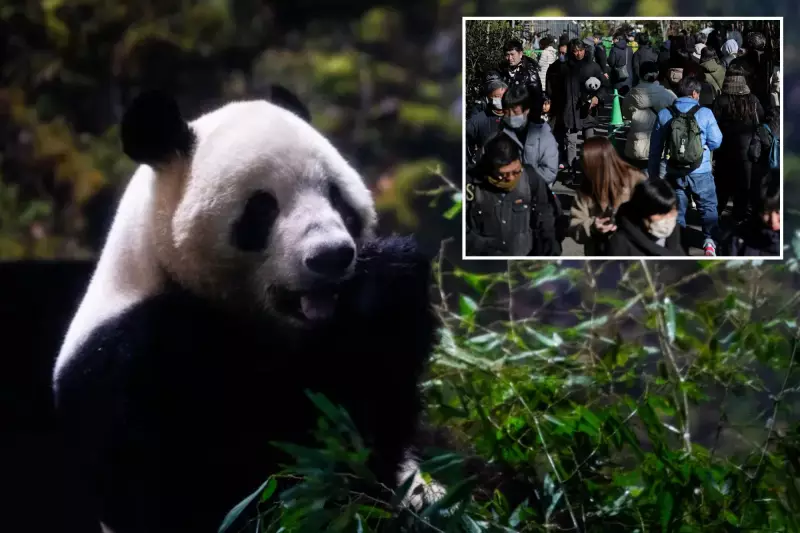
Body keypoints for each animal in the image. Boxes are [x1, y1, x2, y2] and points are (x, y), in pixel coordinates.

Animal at [52, 90, 443, 533]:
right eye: (262, 208)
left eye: (338, 198)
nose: (330, 256)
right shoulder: (130, 364)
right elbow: (226, 488)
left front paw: (387, 280)